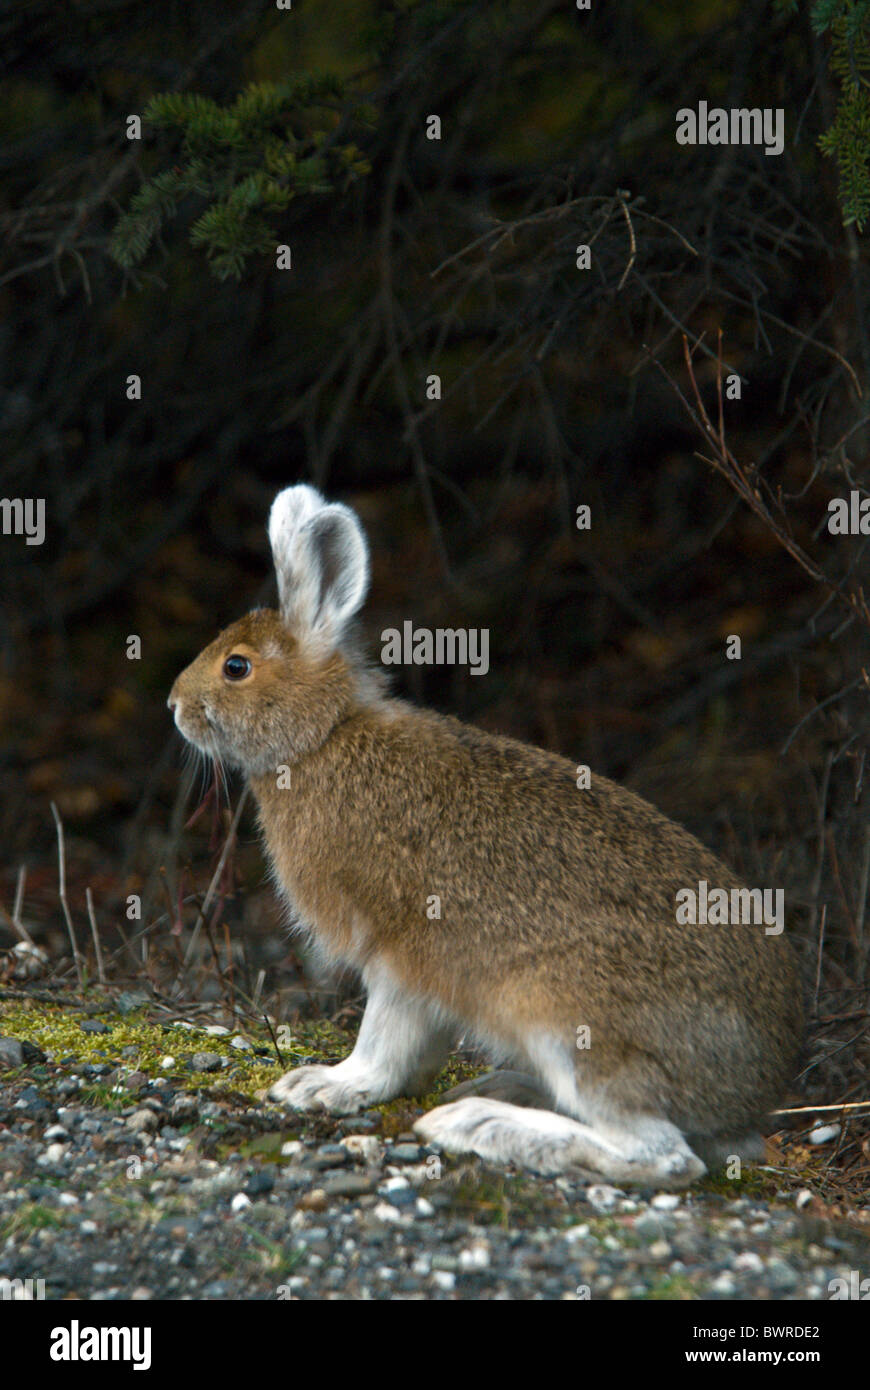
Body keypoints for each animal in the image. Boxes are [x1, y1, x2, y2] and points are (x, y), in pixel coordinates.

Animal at [167, 483, 804, 1187]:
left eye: (236, 667)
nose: (174, 705)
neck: (323, 736)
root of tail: (750, 1093)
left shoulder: (400, 950)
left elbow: (383, 1039)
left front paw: (325, 1085)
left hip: (570, 1018)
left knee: (661, 1155)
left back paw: (480, 1125)